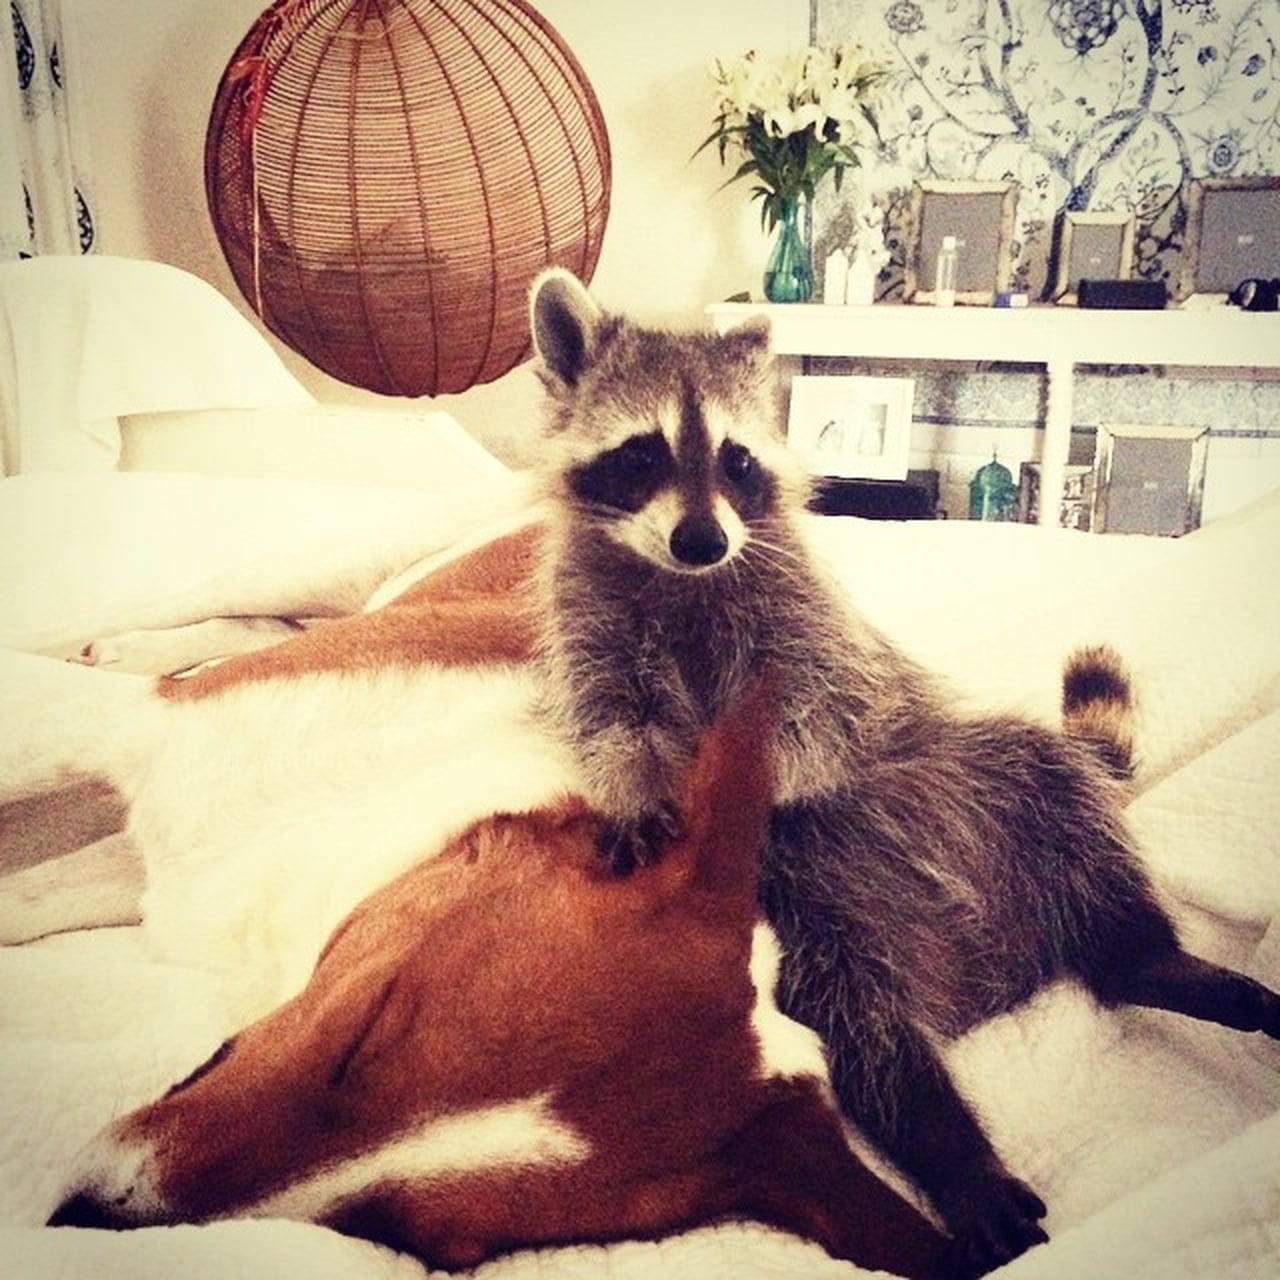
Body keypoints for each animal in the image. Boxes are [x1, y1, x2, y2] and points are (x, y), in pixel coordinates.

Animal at [528, 270, 1280, 1272]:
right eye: (642, 453)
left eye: (735, 459)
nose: (701, 540)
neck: (678, 579)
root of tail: (991, 971)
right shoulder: (587, 614)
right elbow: (608, 718)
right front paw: (638, 789)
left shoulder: (806, 614)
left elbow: (824, 709)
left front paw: (760, 777)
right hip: (823, 929)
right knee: (872, 1037)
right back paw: (954, 1150)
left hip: (983, 779)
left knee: (1062, 791)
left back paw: (1150, 956)